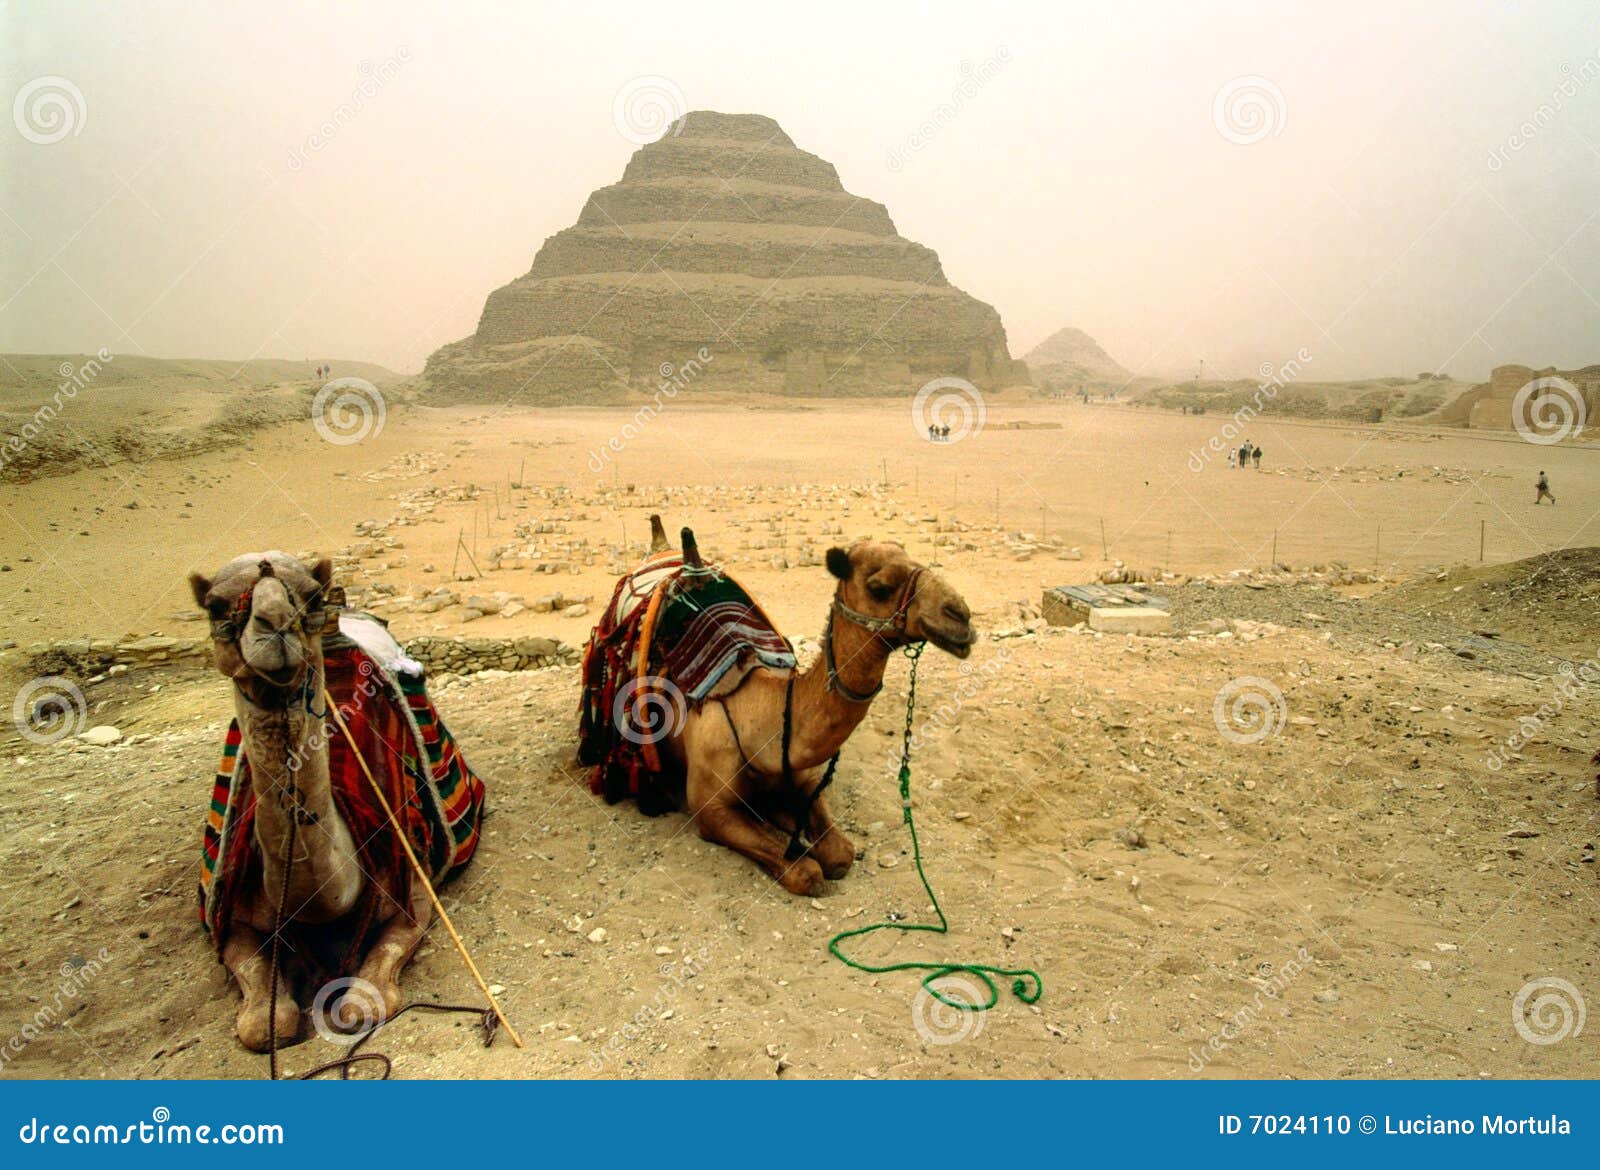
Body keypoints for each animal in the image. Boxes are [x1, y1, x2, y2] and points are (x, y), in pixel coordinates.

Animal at [189, 552, 431, 1052]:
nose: (276, 625)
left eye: (312, 596)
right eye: (216, 606)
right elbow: (263, 1024)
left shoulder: (414, 892)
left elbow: (362, 1004)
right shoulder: (228, 922)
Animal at [616, 521, 977, 896]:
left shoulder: (805, 782)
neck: (757, 714)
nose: (960, 616)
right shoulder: (711, 808)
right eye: (880, 587)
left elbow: (840, 854)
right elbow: (807, 874)